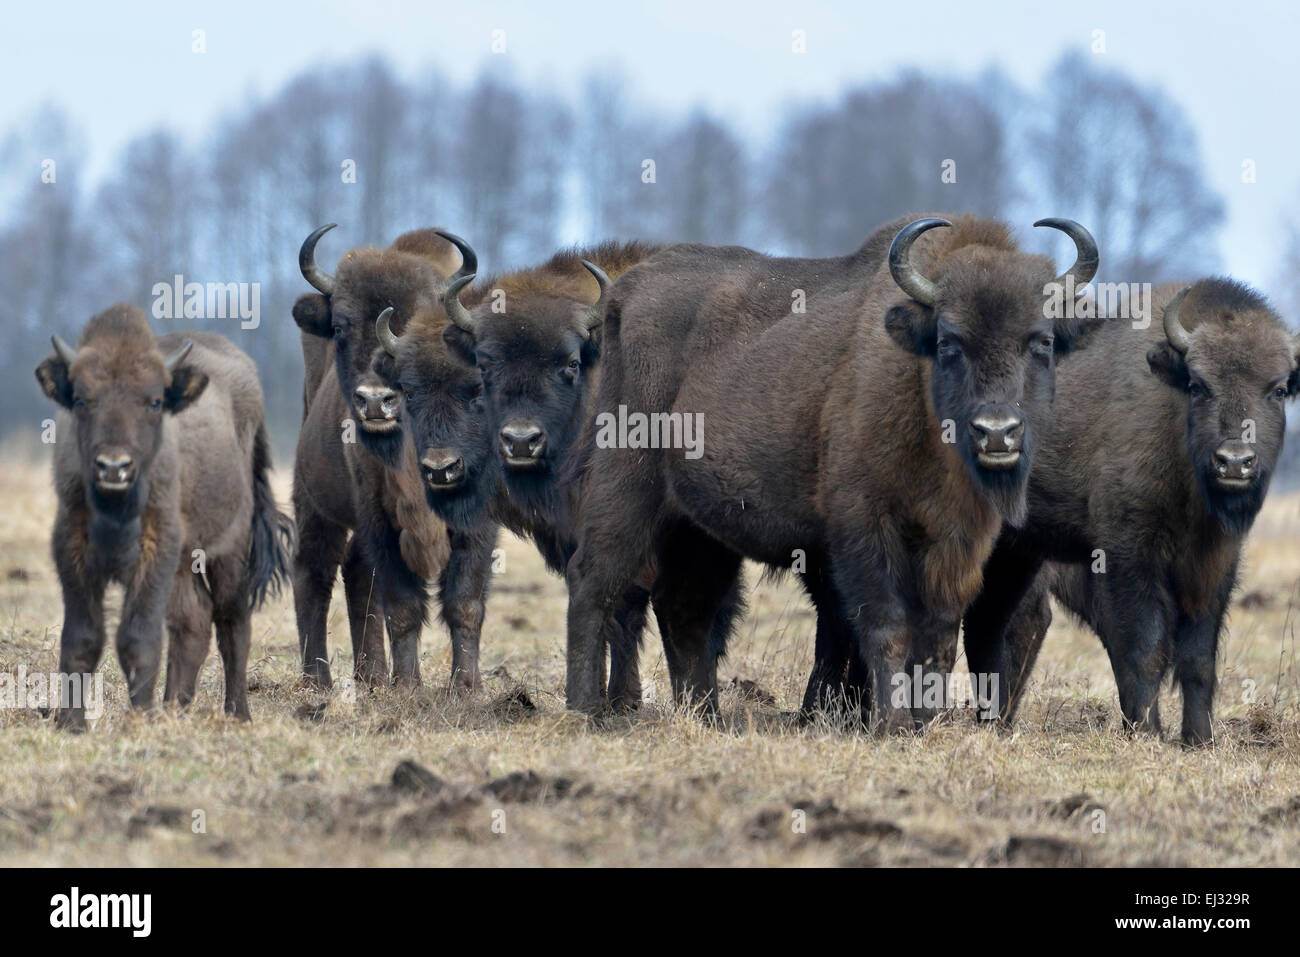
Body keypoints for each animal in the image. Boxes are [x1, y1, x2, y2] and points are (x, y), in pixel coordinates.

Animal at [35, 304, 292, 728]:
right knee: (193, 623)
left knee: (232, 623)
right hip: (187, 563)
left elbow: (138, 638)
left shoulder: (158, 550)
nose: (114, 466)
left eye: (154, 402)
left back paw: (237, 713)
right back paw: (175, 707)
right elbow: (81, 637)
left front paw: (141, 718)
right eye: (82, 400)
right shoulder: (71, 546)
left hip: (230, 551)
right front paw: (70, 724)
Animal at [562, 213, 1098, 725]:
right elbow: (886, 624)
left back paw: (706, 715)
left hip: (696, 527)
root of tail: (624, 294)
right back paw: (586, 708)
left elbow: (939, 634)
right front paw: (892, 723)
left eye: (1042, 341)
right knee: (593, 578)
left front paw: (926, 720)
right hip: (626, 484)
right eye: (949, 341)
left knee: (685, 605)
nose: (997, 432)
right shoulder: (863, 529)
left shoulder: (957, 542)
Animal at [963, 279, 1299, 746]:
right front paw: (1146, 733)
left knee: (992, 623)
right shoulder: (1129, 555)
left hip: (1017, 552)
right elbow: (1144, 649)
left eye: (1279, 389)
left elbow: (1199, 659)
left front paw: (1199, 740)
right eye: (1198, 386)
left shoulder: (1216, 563)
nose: (1234, 461)